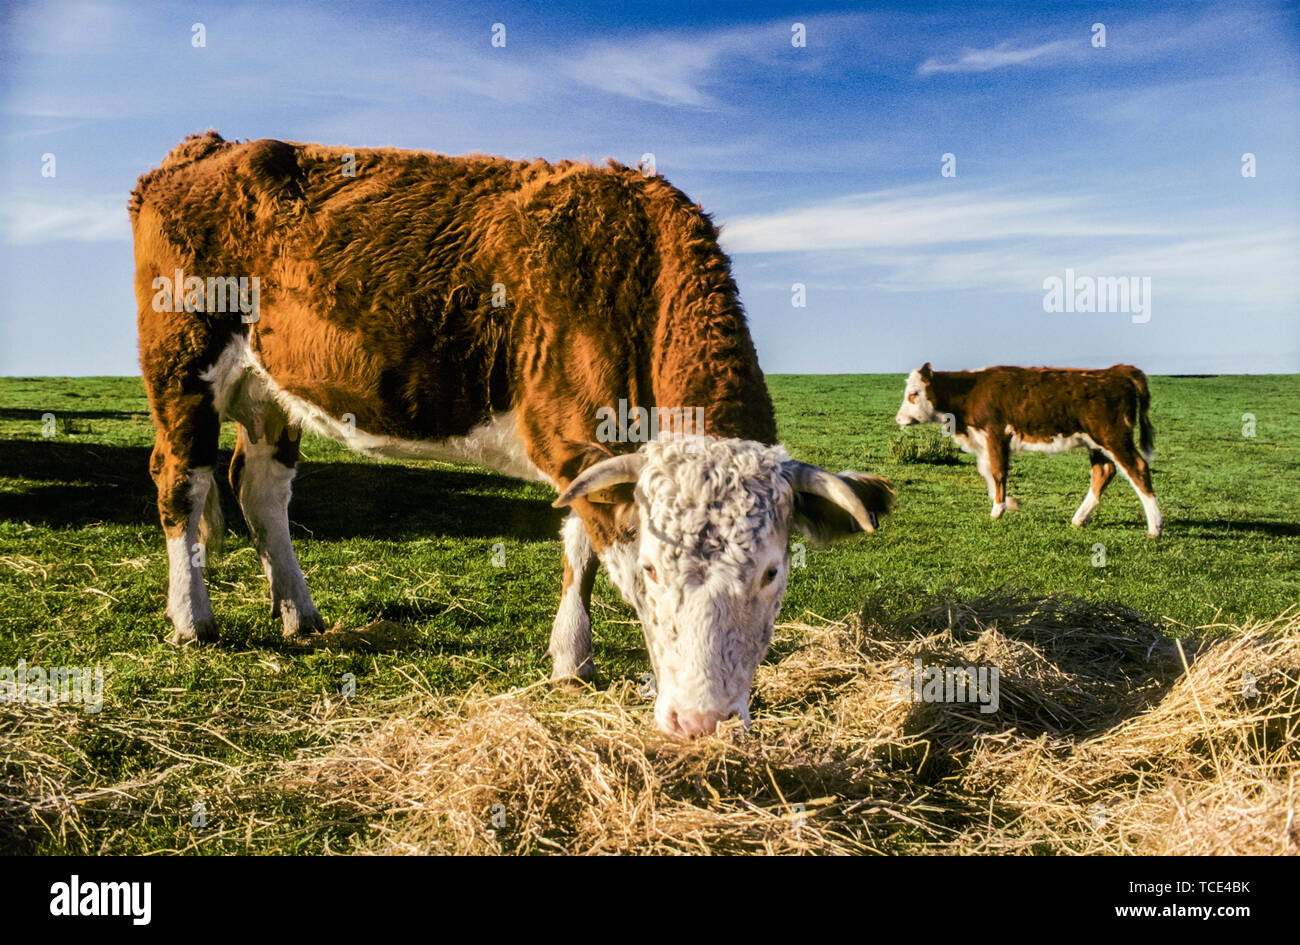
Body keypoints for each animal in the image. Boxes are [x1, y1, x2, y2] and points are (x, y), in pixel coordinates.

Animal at [130, 132, 893, 738]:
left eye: (772, 572)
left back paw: (299, 612)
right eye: (654, 569)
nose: (704, 721)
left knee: (260, 490)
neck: (635, 272)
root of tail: (207, 148)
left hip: (269, 392)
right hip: (180, 363)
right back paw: (191, 619)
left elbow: (580, 547)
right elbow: (597, 551)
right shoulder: (572, 439)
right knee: (180, 481)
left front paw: (572, 659)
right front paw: (589, 662)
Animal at [894, 363, 1161, 537]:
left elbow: (997, 472)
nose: (898, 419)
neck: (971, 391)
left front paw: (997, 510)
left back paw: (1155, 527)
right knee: (1103, 472)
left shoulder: (995, 434)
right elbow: (987, 471)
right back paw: (1079, 519)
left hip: (1113, 436)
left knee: (1137, 468)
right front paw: (1008, 503)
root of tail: (1116, 371)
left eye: (914, 394)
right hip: (1097, 443)